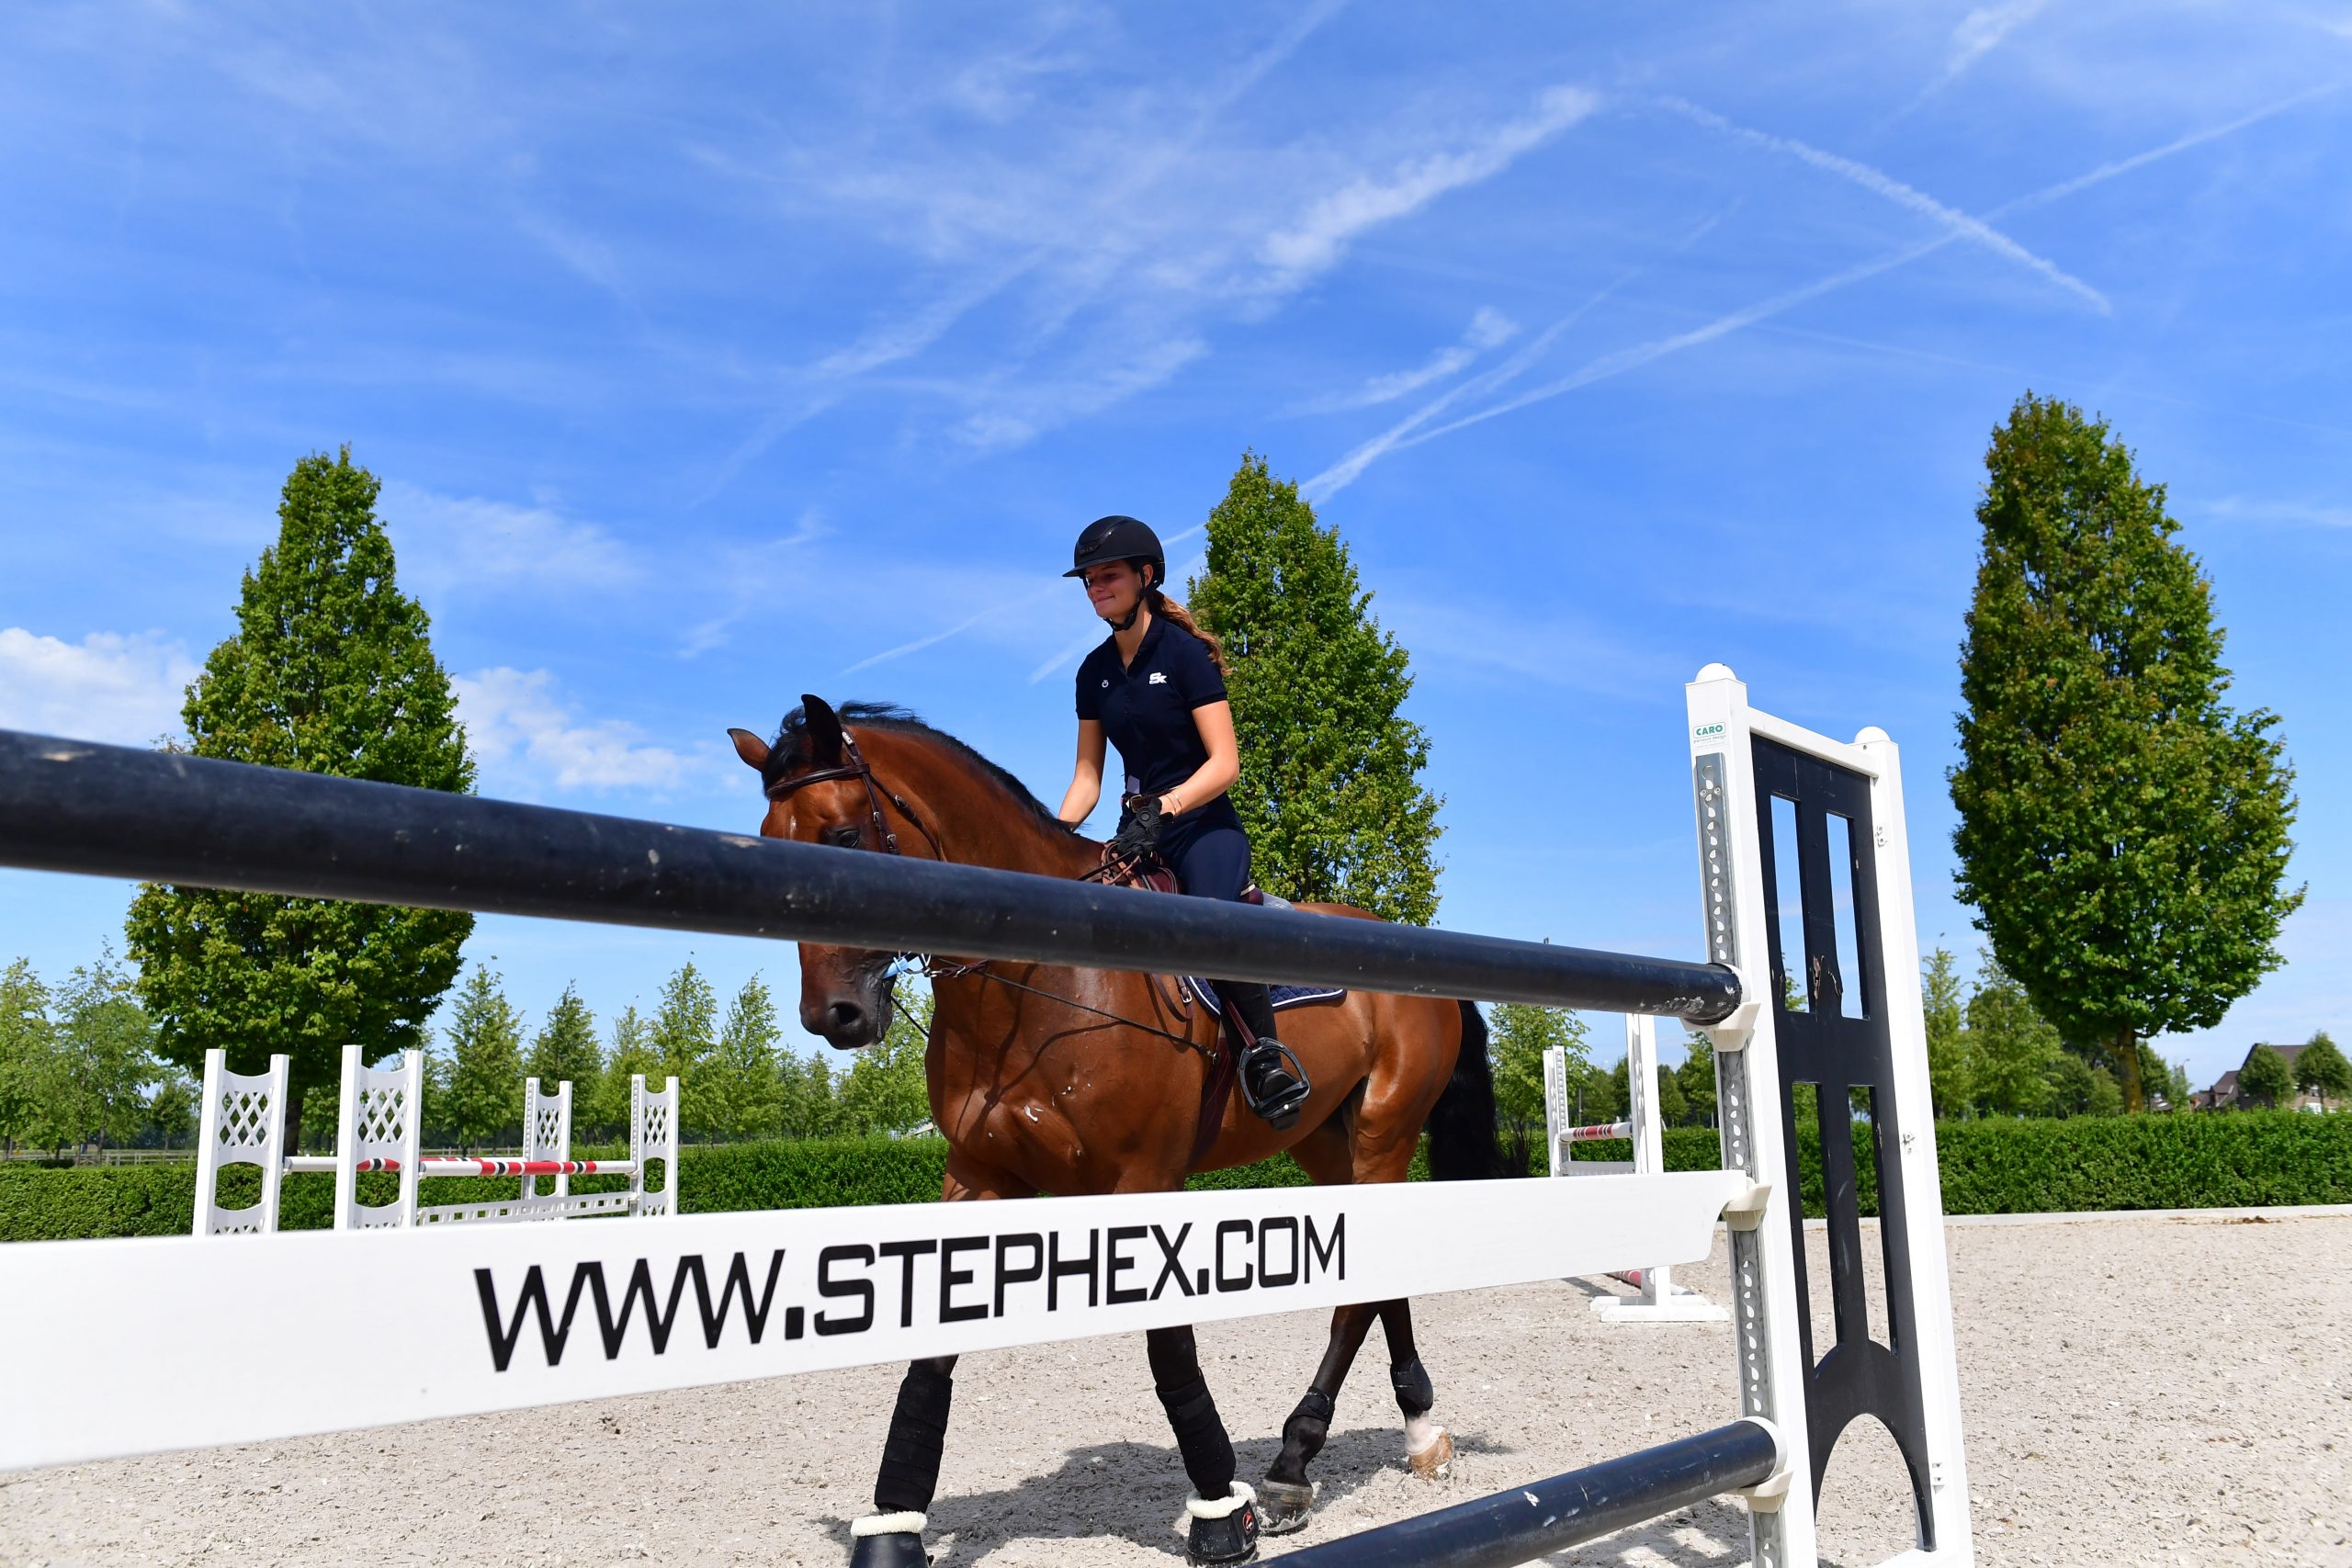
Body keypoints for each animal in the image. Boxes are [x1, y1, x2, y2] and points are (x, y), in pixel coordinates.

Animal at [728, 695, 1508, 1564]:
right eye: (766, 843)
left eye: (842, 836)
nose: (832, 1015)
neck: (1043, 977)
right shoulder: (979, 1173)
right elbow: (934, 1338)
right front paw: (894, 1525)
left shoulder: (1145, 1178)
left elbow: (1168, 1341)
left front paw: (1218, 1513)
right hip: (1323, 1143)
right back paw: (1374, 1441)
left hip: (1382, 1133)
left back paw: (1318, 1454)